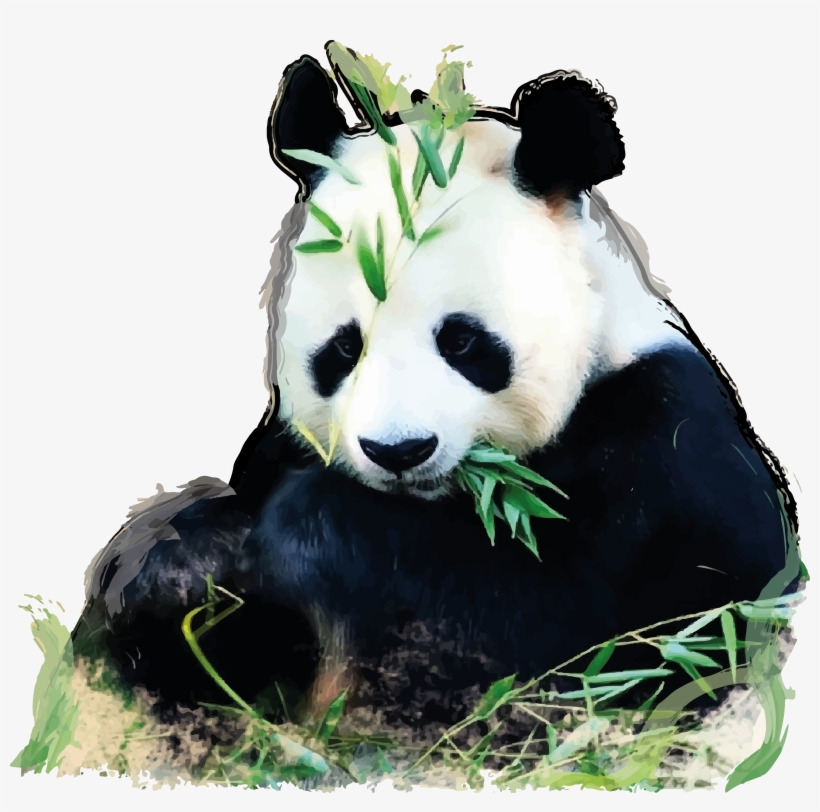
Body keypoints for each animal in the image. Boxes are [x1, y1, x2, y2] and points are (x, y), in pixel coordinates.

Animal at [74, 49, 800, 743]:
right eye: (344, 349)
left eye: (463, 341)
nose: (399, 450)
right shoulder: (280, 453)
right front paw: (181, 566)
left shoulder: (664, 454)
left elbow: (543, 637)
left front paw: (308, 528)